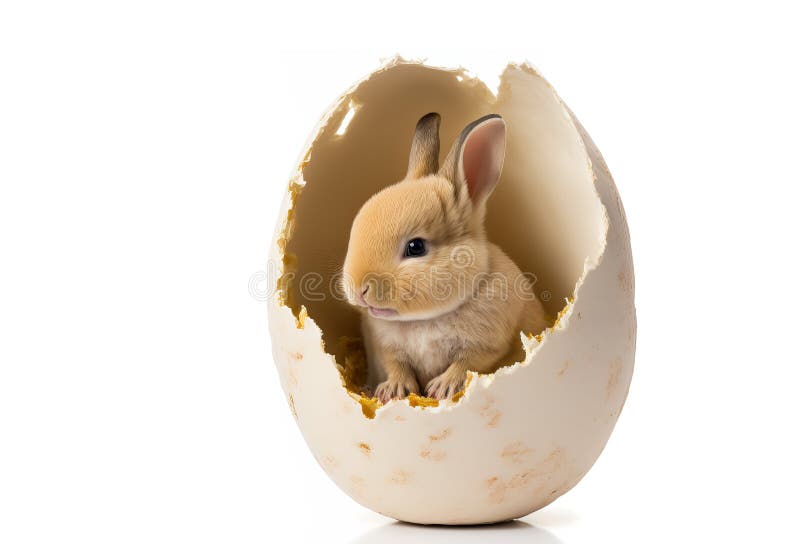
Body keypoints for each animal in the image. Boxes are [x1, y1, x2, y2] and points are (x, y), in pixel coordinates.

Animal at [341, 112, 549, 402]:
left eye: (416, 247)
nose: (358, 290)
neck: (425, 318)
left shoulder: (488, 345)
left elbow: (466, 364)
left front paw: (442, 388)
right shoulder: (386, 348)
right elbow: (396, 365)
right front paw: (393, 390)